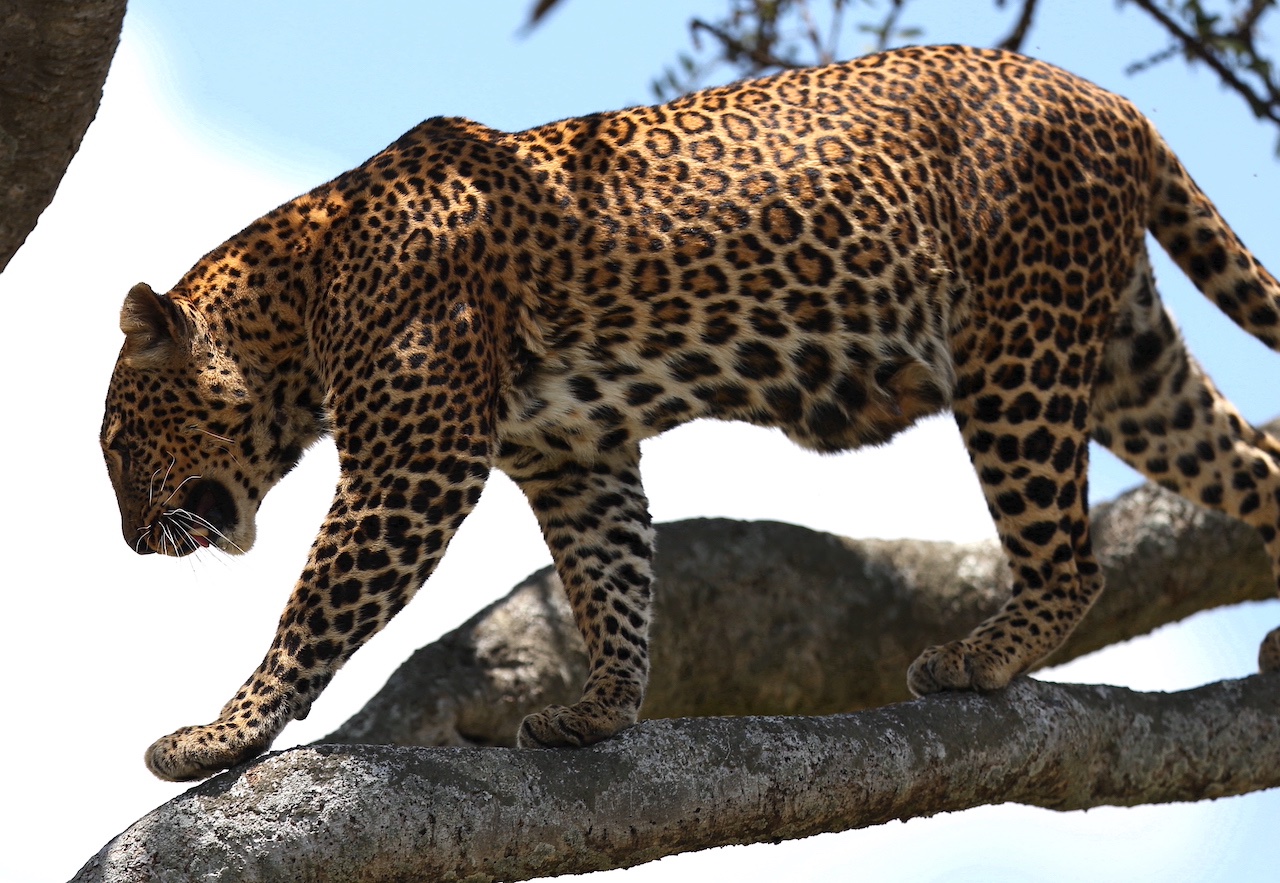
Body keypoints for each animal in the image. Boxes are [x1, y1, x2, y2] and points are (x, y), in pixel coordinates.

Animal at [101, 44, 1280, 782]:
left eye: (118, 443)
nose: (128, 542)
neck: (297, 295)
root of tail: (1111, 103)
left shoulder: (415, 462)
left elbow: (315, 609)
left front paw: (220, 736)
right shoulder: (573, 453)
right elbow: (612, 578)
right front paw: (603, 709)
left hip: (1018, 349)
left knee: (1071, 559)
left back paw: (979, 656)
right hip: (1125, 360)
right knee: (1255, 465)